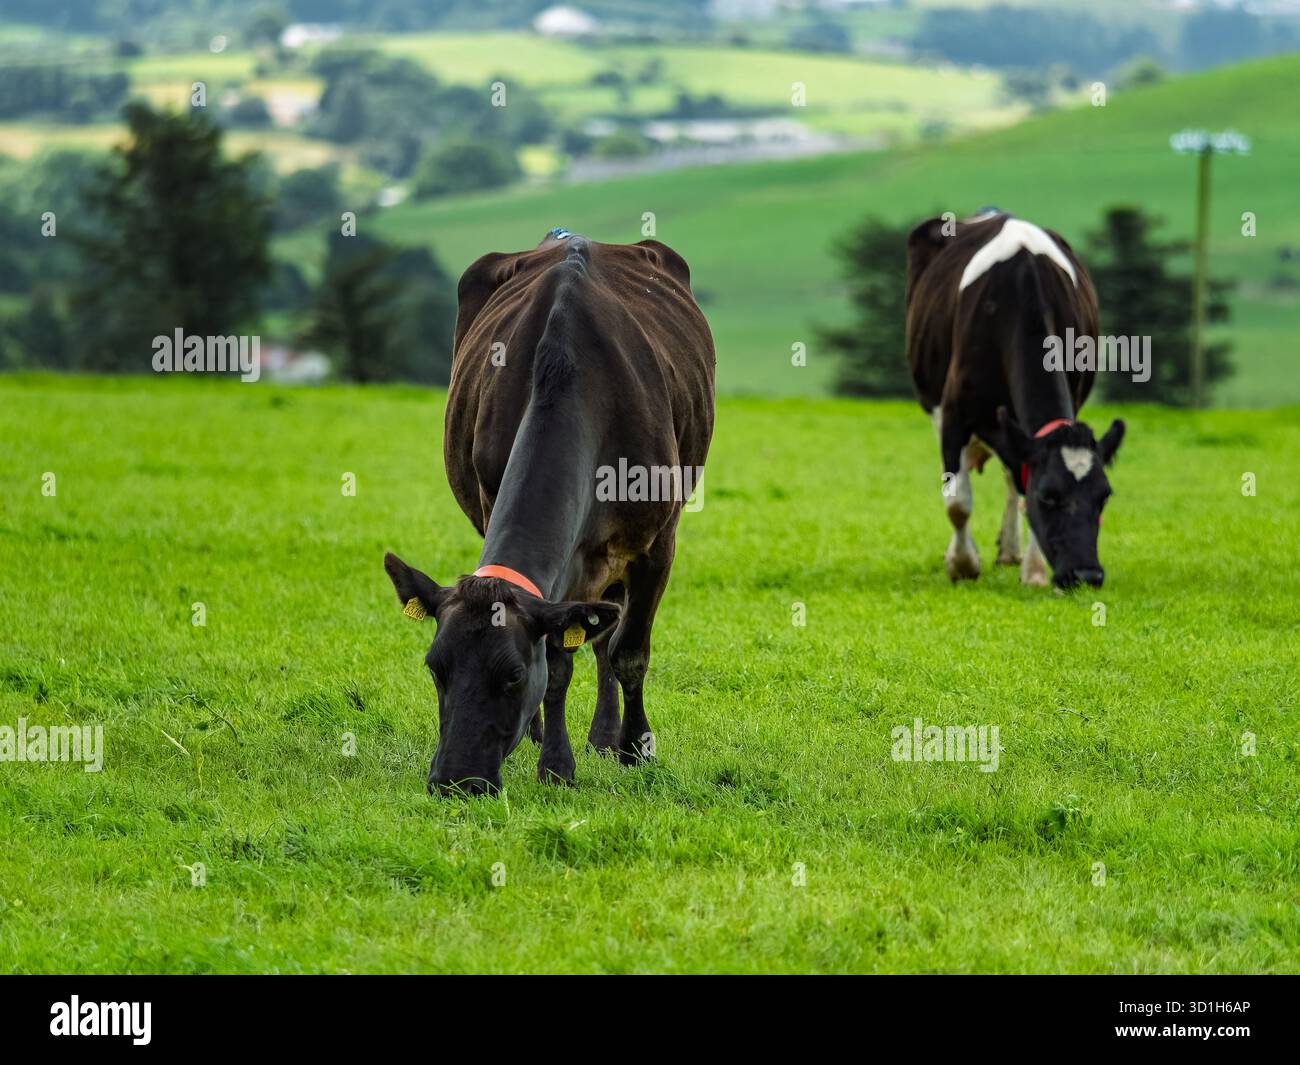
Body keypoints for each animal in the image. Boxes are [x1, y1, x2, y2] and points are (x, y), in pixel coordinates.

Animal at [384, 229, 715, 795]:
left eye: (513, 675)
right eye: (434, 668)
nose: (455, 781)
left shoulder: (658, 541)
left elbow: (630, 650)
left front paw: (634, 748)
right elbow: (560, 658)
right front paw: (556, 761)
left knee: (610, 634)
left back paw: (606, 736)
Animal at [905, 209, 1126, 590]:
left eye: (1104, 496)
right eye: (1048, 496)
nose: (1086, 574)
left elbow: (1021, 491)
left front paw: (1035, 572)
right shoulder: (954, 413)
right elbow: (958, 503)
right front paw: (962, 565)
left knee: (1011, 479)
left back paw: (1010, 551)